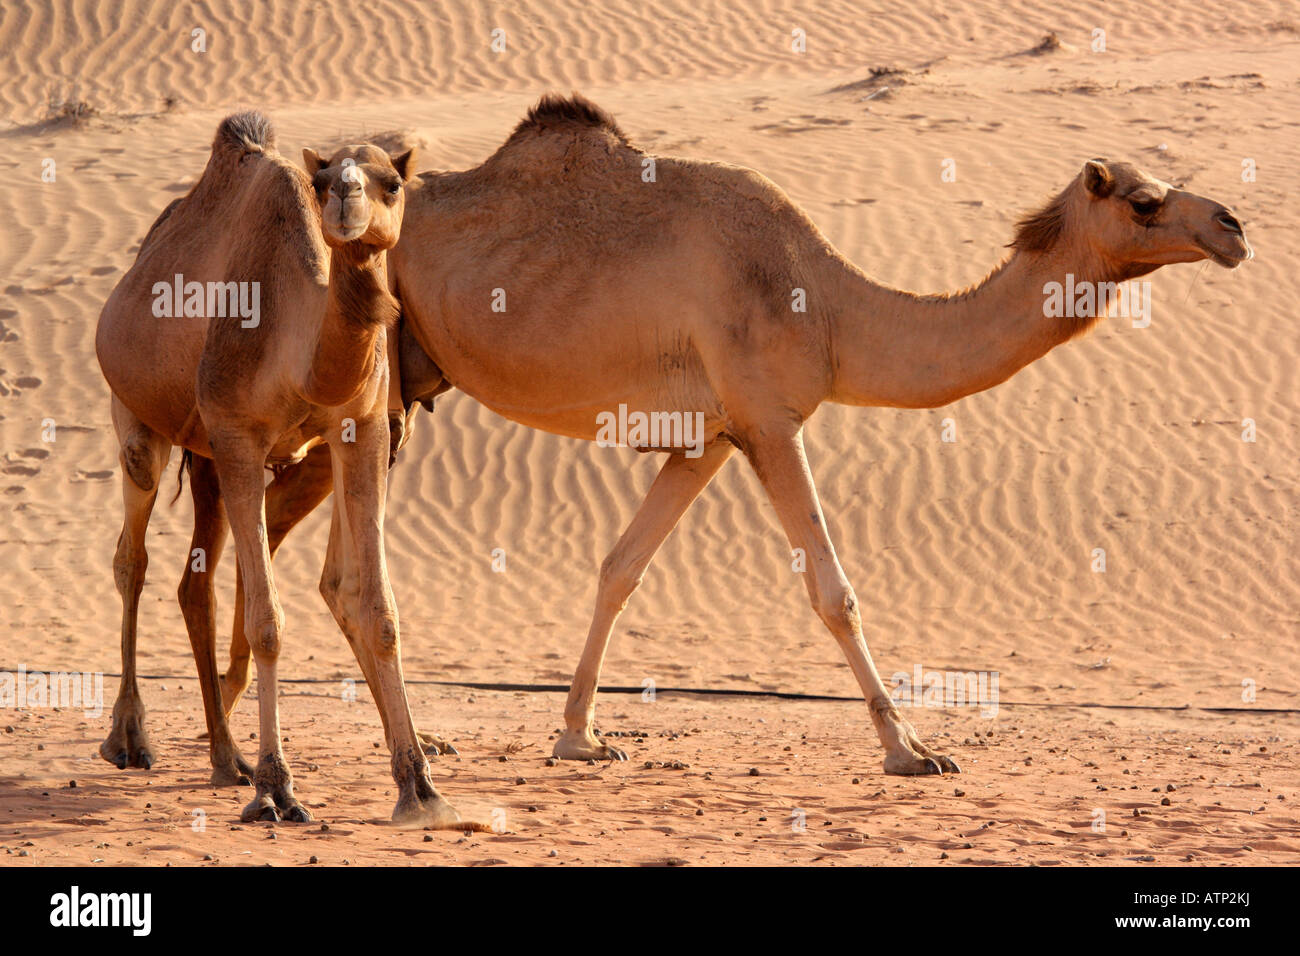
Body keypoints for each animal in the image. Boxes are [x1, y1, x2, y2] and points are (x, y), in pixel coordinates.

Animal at [94, 112, 460, 827]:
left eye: (392, 181)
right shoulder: (239, 434)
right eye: (320, 182)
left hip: (205, 456)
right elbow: (266, 622)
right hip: (140, 421)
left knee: (194, 584)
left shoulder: (363, 428)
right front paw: (276, 787)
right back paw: (132, 738)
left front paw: (420, 786)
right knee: (132, 558)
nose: (344, 196)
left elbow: (378, 610)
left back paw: (224, 758)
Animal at [219, 93, 1251, 780]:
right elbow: (835, 591)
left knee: (310, 554)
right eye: (1144, 201)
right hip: (370, 387)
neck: (831, 309)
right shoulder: (768, 418)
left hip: (390, 395)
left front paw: (578, 735)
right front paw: (911, 748)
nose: (1234, 224)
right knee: (307, 545)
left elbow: (620, 569)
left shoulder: (706, 438)